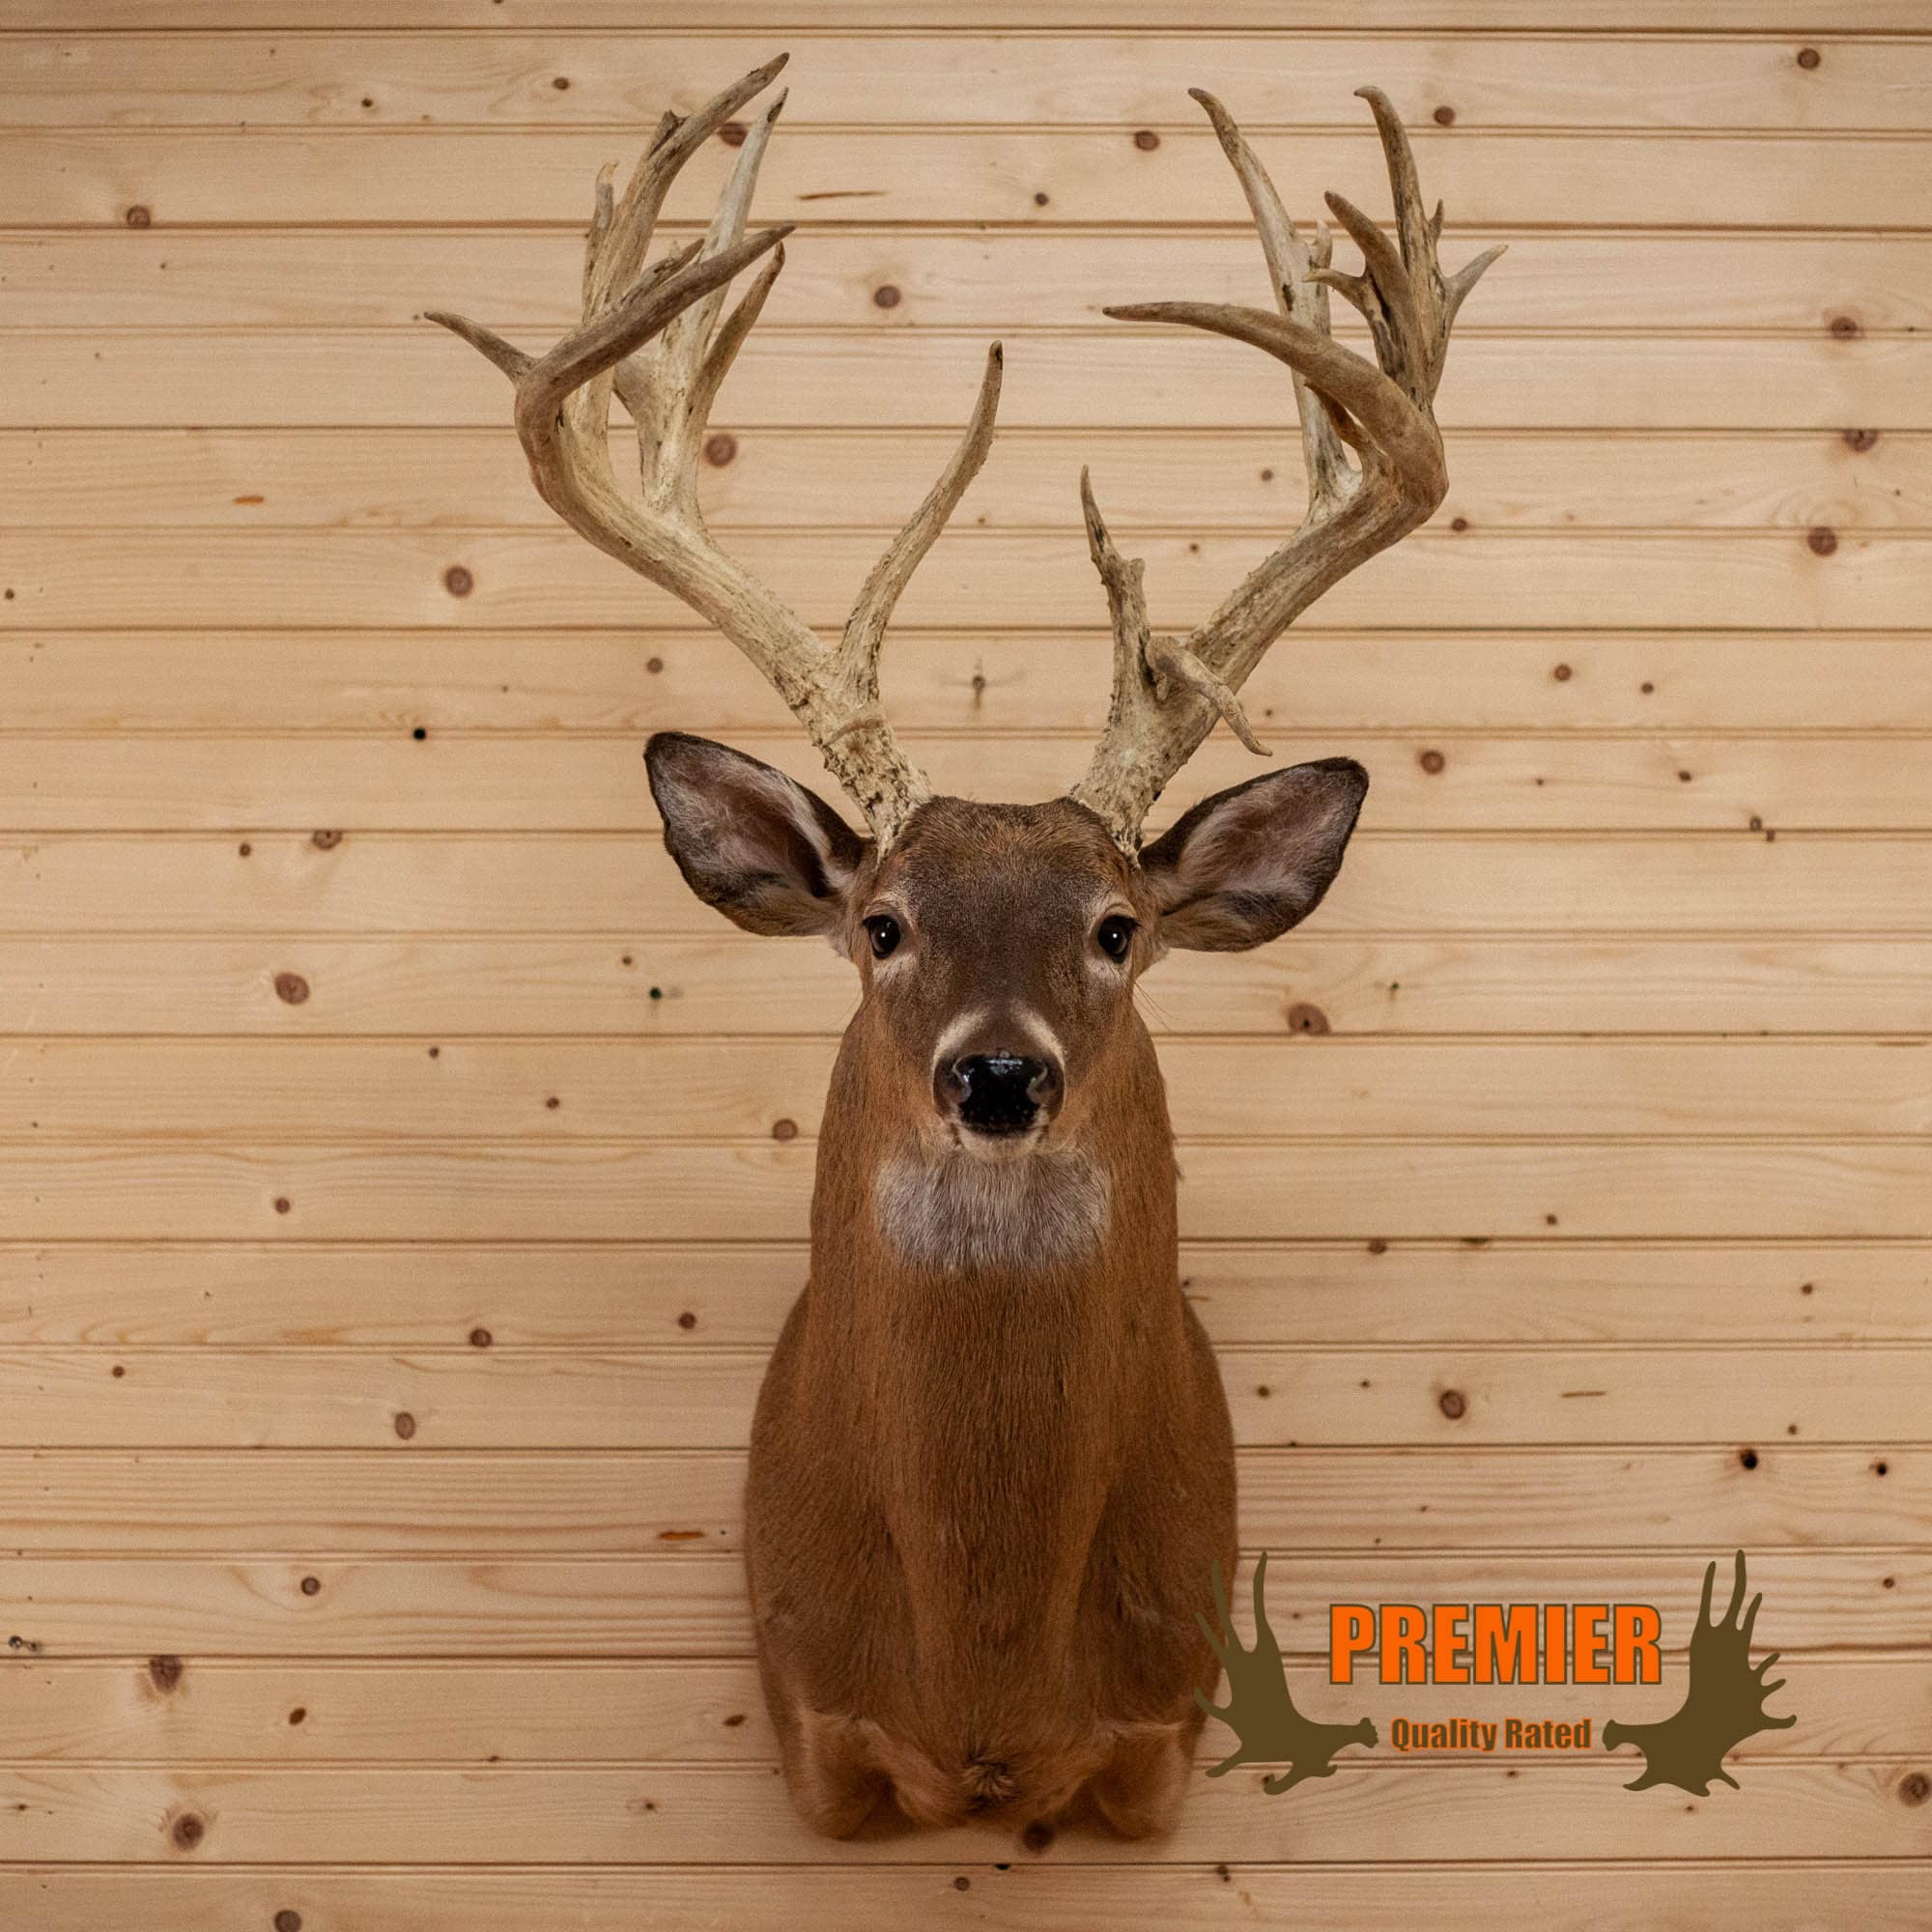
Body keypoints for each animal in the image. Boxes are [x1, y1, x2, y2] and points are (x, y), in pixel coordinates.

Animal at [429, 54, 1498, 1842]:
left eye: (1119, 928)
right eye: (883, 923)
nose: (999, 1074)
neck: (988, 1669)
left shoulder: (1166, 1738)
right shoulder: (814, 1731)